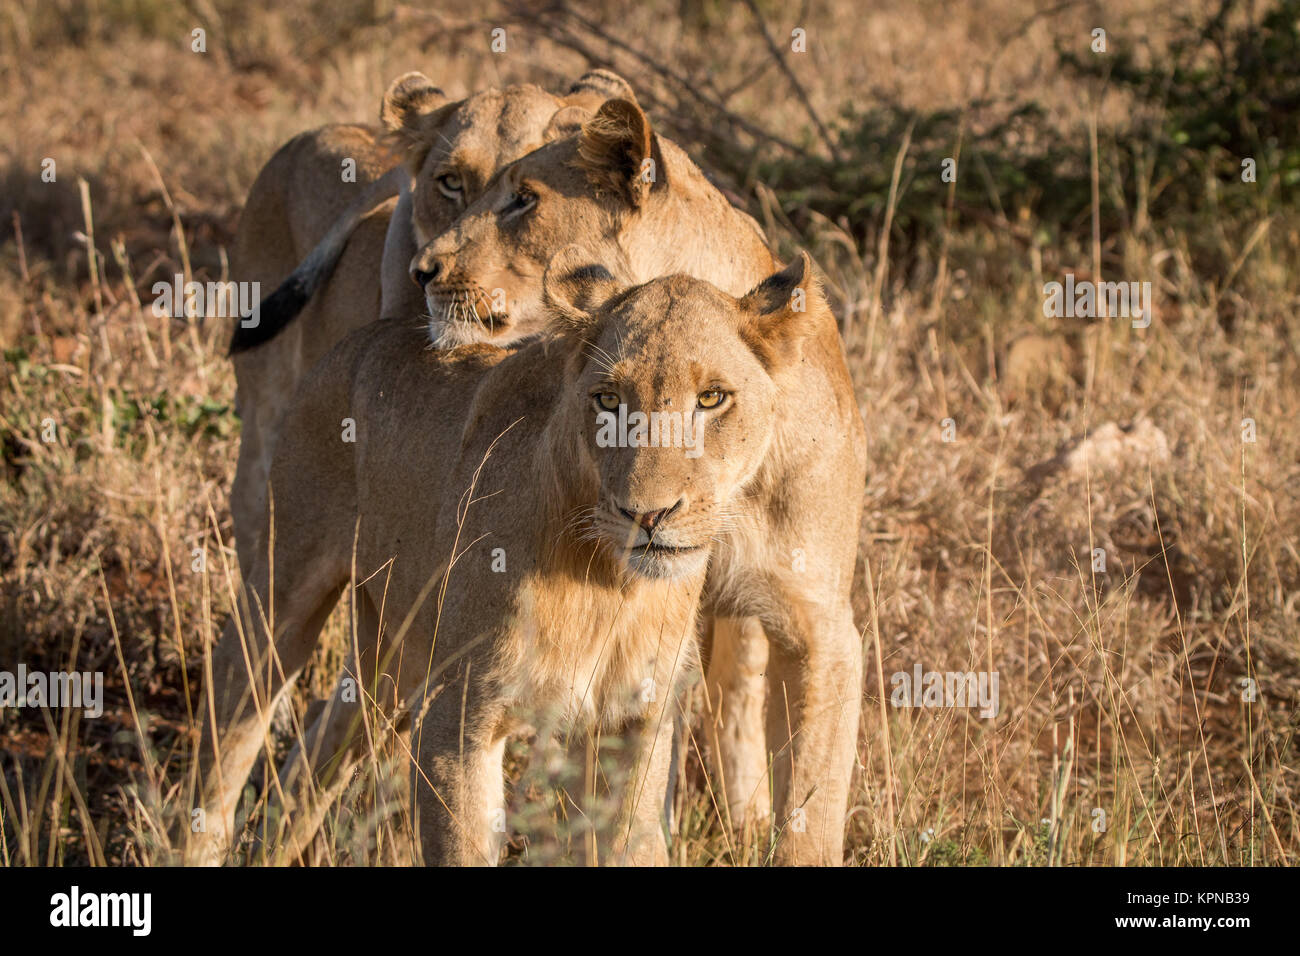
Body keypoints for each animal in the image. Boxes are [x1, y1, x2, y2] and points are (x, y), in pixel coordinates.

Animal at [189, 245, 858, 866]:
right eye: (607, 400)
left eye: (713, 398)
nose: (646, 514)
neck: (610, 585)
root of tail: (367, 334)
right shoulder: (459, 723)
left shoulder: (635, 724)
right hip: (284, 590)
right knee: (231, 721)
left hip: (394, 657)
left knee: (312, 763)